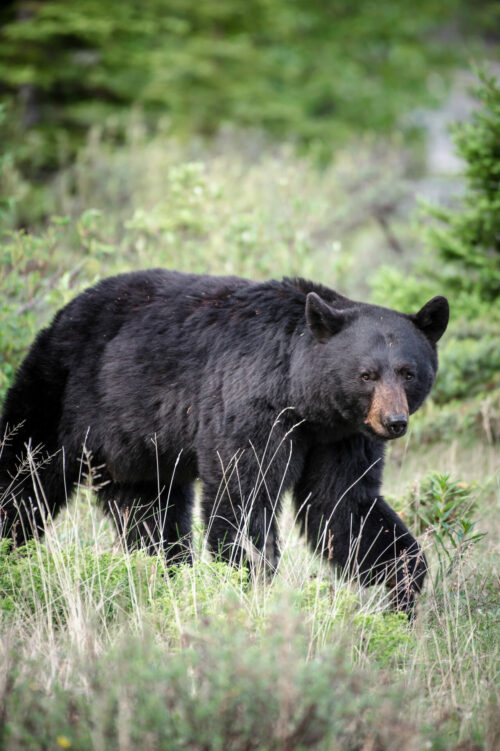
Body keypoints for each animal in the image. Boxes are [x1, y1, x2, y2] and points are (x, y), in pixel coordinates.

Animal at [0, 270, 449, 614]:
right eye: (366, 374)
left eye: (407, 372)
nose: (393, 422)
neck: (302, 395)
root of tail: (67, 309)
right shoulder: (251, 405)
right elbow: (242, 495)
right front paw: (246, 580)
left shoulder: (341, 436)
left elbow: (341, 507)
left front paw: (404, 587)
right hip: (61, 391)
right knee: (24, 472)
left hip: (138, 449)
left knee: (151, 514)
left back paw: (165, 574)